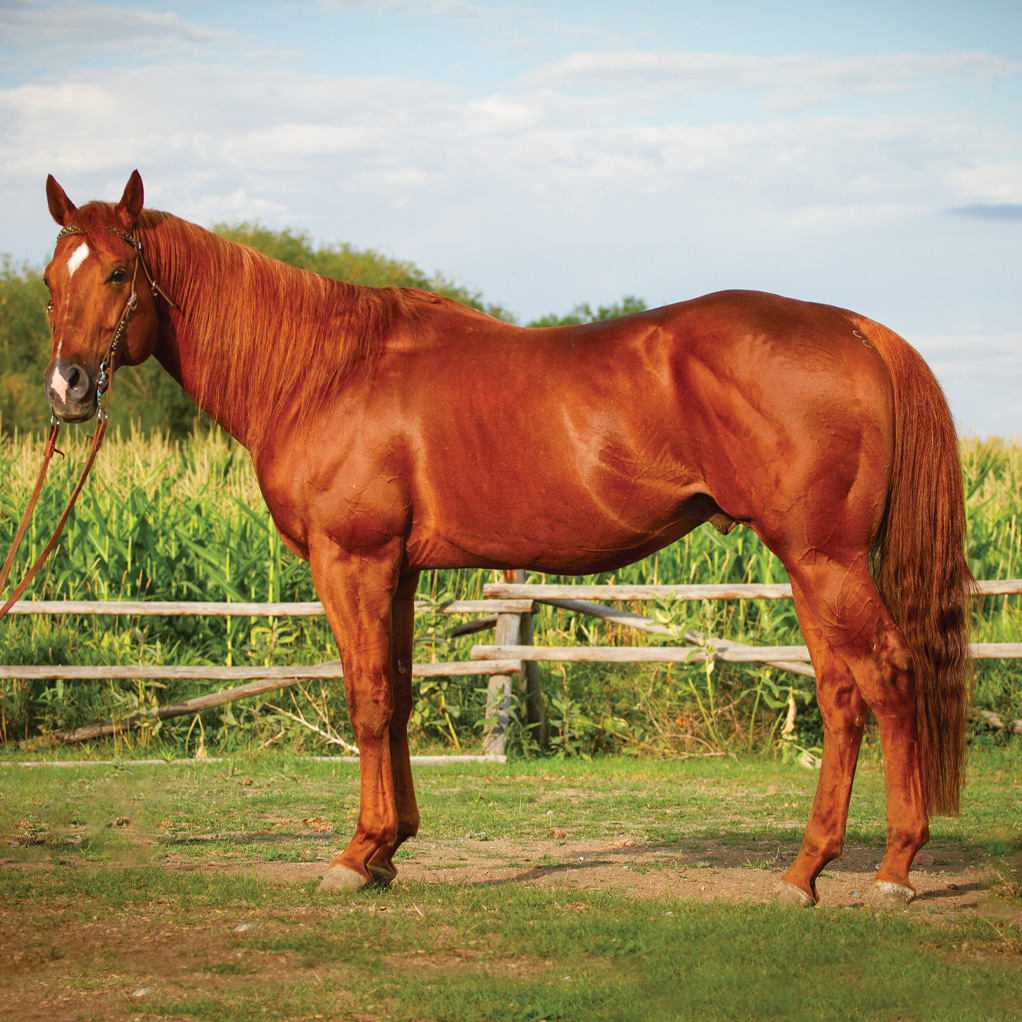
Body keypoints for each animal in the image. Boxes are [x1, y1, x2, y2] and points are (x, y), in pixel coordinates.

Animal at [40, 170, 972, 909]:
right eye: (50, 280)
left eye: (119, 272)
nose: (68, 388)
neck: (325, 371)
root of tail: (854, 329)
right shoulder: (398, 571)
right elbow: (399, 694)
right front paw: (388, 851)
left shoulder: (352, 560)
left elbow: (366, 699)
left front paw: (354, 854)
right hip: (813, 566)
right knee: (842, 695)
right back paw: (804, 872)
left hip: (824, 559)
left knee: (888, 678)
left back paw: (891, 871)